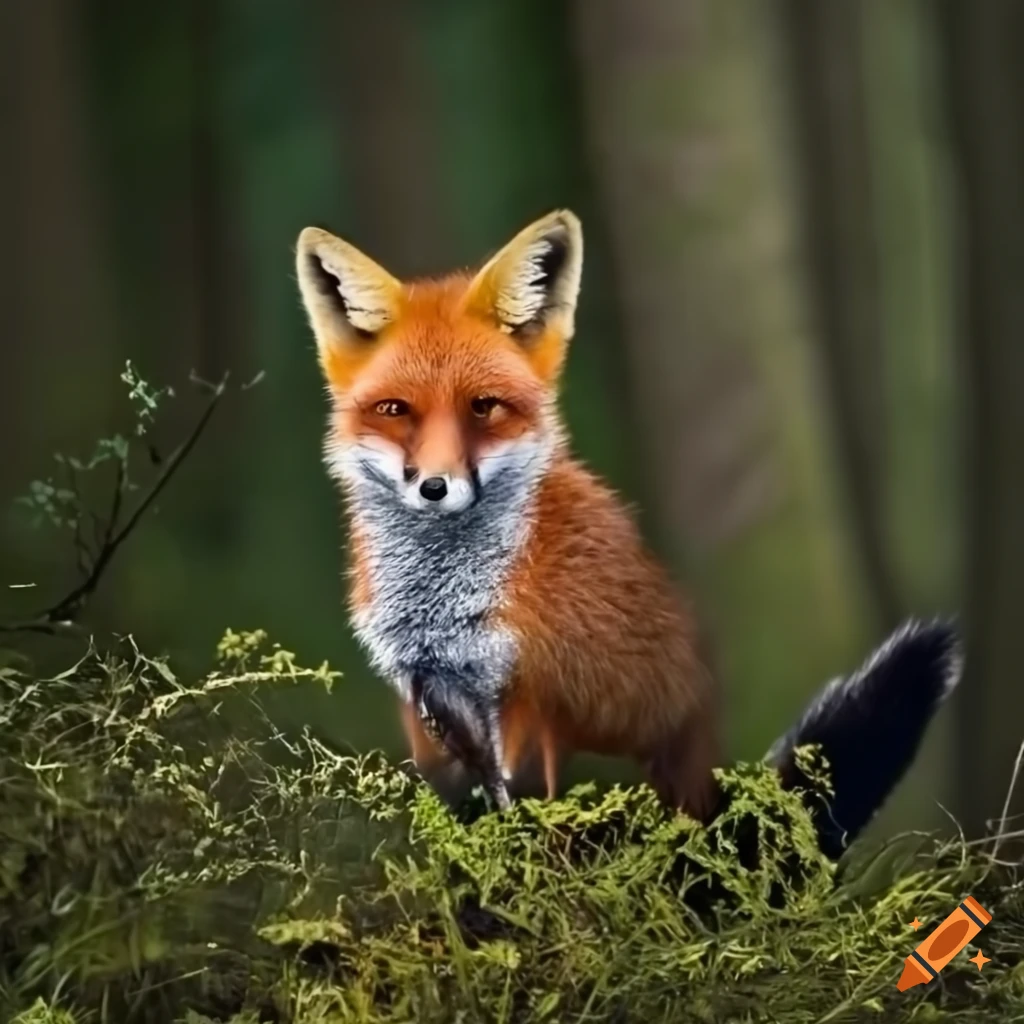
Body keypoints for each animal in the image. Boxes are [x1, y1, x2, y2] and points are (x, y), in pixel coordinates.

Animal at [294, 209, 962, 854]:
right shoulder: (428, 696)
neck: (451, 603)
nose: (434, 488)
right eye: (395, 410)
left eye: (483, 407)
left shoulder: (533, 701)